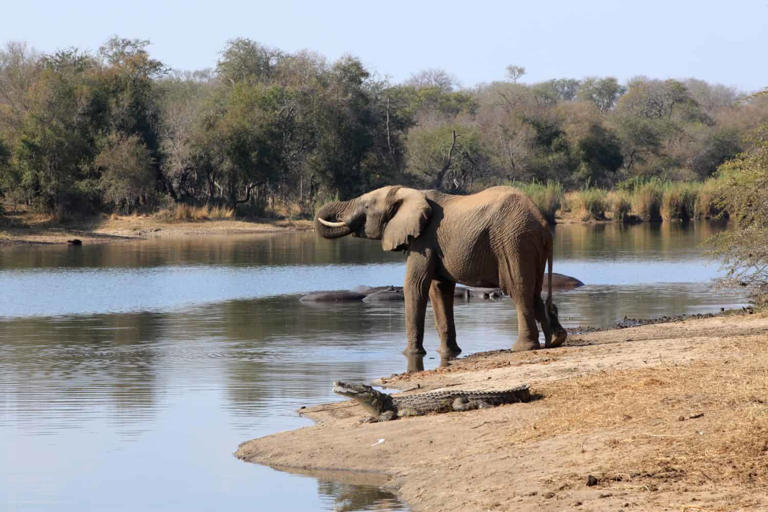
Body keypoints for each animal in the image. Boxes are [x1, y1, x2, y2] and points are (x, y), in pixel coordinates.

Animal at [315, 185, 567, 356]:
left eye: (367, 207)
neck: (408, 193)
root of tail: (543, 223)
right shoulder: (434, 245)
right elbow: (440, 289)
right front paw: (448, 353)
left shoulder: (423, 240)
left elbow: (415, 285)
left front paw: (411, 354)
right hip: (528, 245)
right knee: (534, 291)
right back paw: (554, 341)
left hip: (513, 241)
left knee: (518, 288)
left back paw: (523, 348)